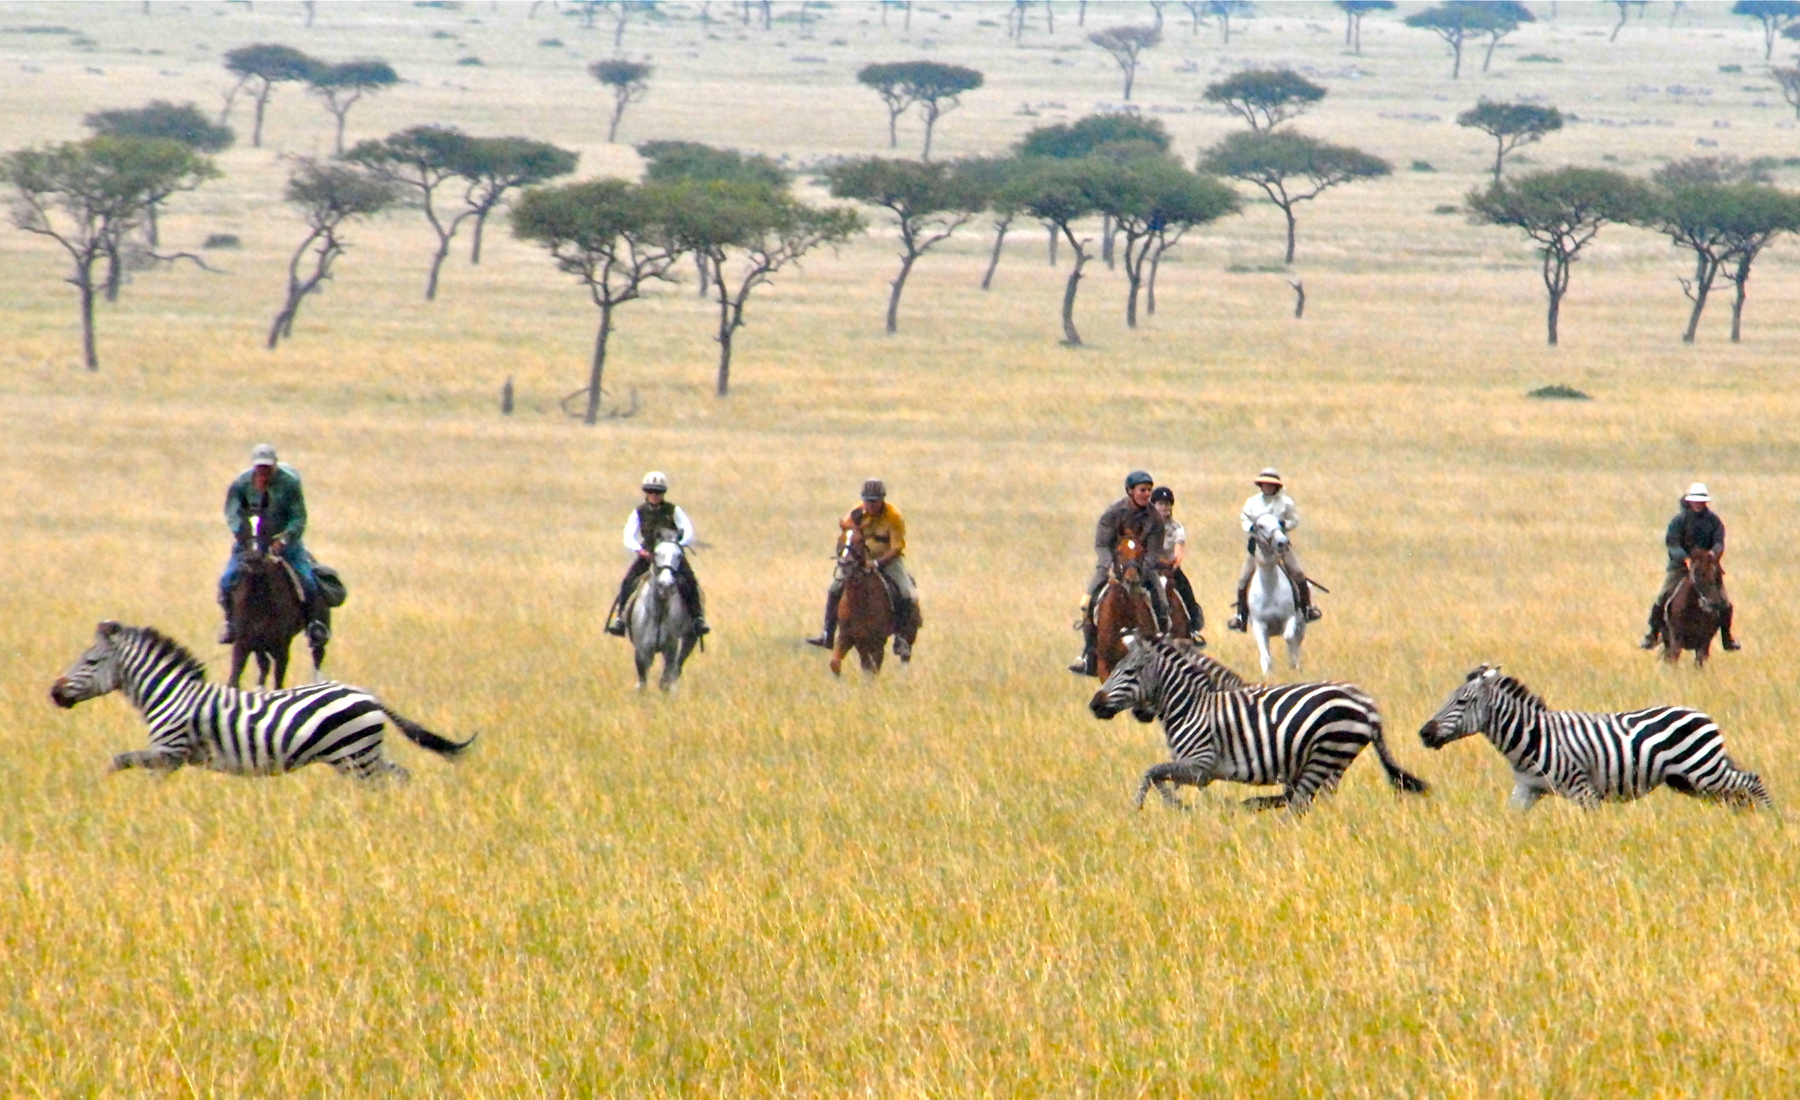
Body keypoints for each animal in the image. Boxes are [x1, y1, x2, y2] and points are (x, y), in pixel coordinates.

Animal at [226, 515, 323, 689]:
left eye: (266, 527)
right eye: (243, 526)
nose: (253, 558)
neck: (259, 599)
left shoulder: (282, 648)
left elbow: (279, 683)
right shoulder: (243, 644)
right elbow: (234, 679)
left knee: (317, 659)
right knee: (264, 666)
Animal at [625, 538, 698, 691]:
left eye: (679, 555)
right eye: (657, 553)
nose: (665, 585)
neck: (658, 614)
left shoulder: (670, 650)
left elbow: (664, 681)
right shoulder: (642, 652)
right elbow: (643, 683)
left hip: (689, 640)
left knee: (677, 669)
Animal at [1246, 512, 1304, 676]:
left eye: (1280, 522)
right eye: (1260, 526)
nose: (1282, 542)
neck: (1269, 589)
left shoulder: (1290, 618)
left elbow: (1289, 638)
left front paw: (1292, 664)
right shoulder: (1259, 626)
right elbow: (1265, 655)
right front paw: (1267, 675)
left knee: (1296, 646)